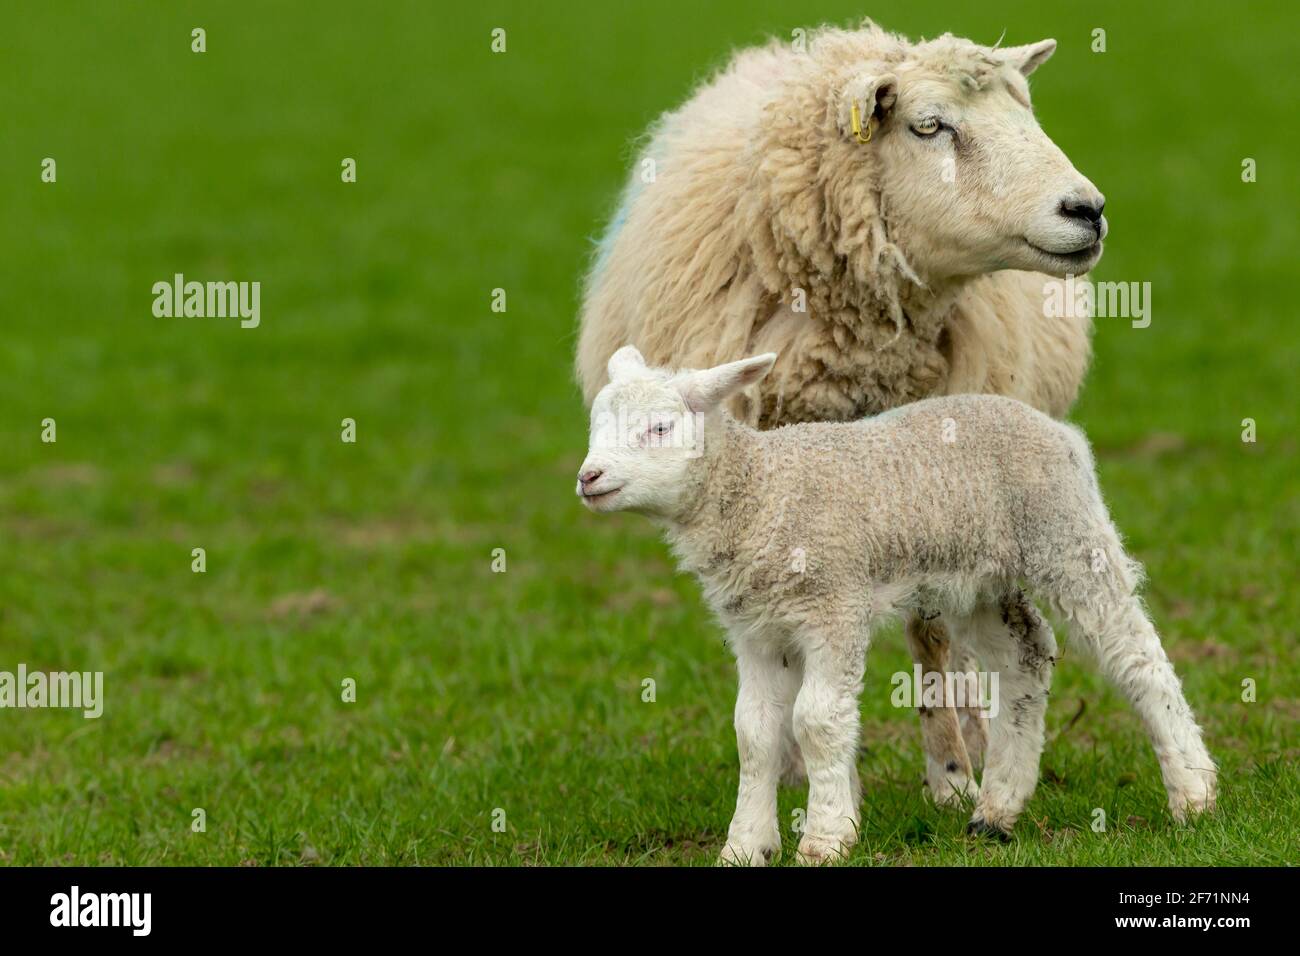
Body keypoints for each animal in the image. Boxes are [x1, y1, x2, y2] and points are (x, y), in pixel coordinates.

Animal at [575, 20, 1108, 805]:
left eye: (1026, 107)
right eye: (929, 126)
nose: (1087, 211)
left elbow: (929, 633)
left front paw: (951, 773)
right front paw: (812, 780)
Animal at [576, 346, 1216, 866]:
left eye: (660, 427)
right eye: (595, 425)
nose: (589, 477)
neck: (761, 492)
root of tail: (1064, 435)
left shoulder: (833, 606)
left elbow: (815, 721)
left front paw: (826, 838)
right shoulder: (756, 630)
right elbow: (754, 733)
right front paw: (745, 846)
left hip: (1065, 536)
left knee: (1136, 655)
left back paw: (1194, 795)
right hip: (980, 578)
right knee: (1026, 656)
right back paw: (996, 810)